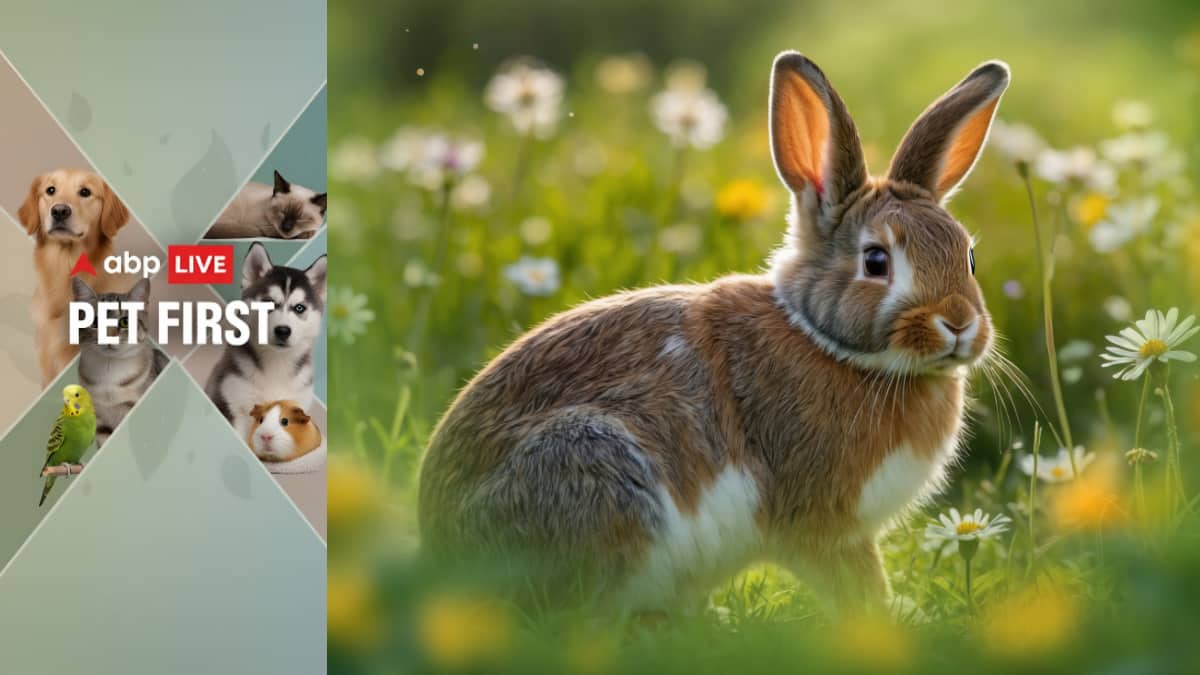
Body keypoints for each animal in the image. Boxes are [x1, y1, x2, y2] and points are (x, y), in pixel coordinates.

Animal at [419, 51, 1009, 612]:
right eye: (876, 260)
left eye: (970, 257)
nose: (959, 323)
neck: (829, 344)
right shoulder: (826, 525)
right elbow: (855, 583)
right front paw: (884, 620)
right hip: (594, 466)